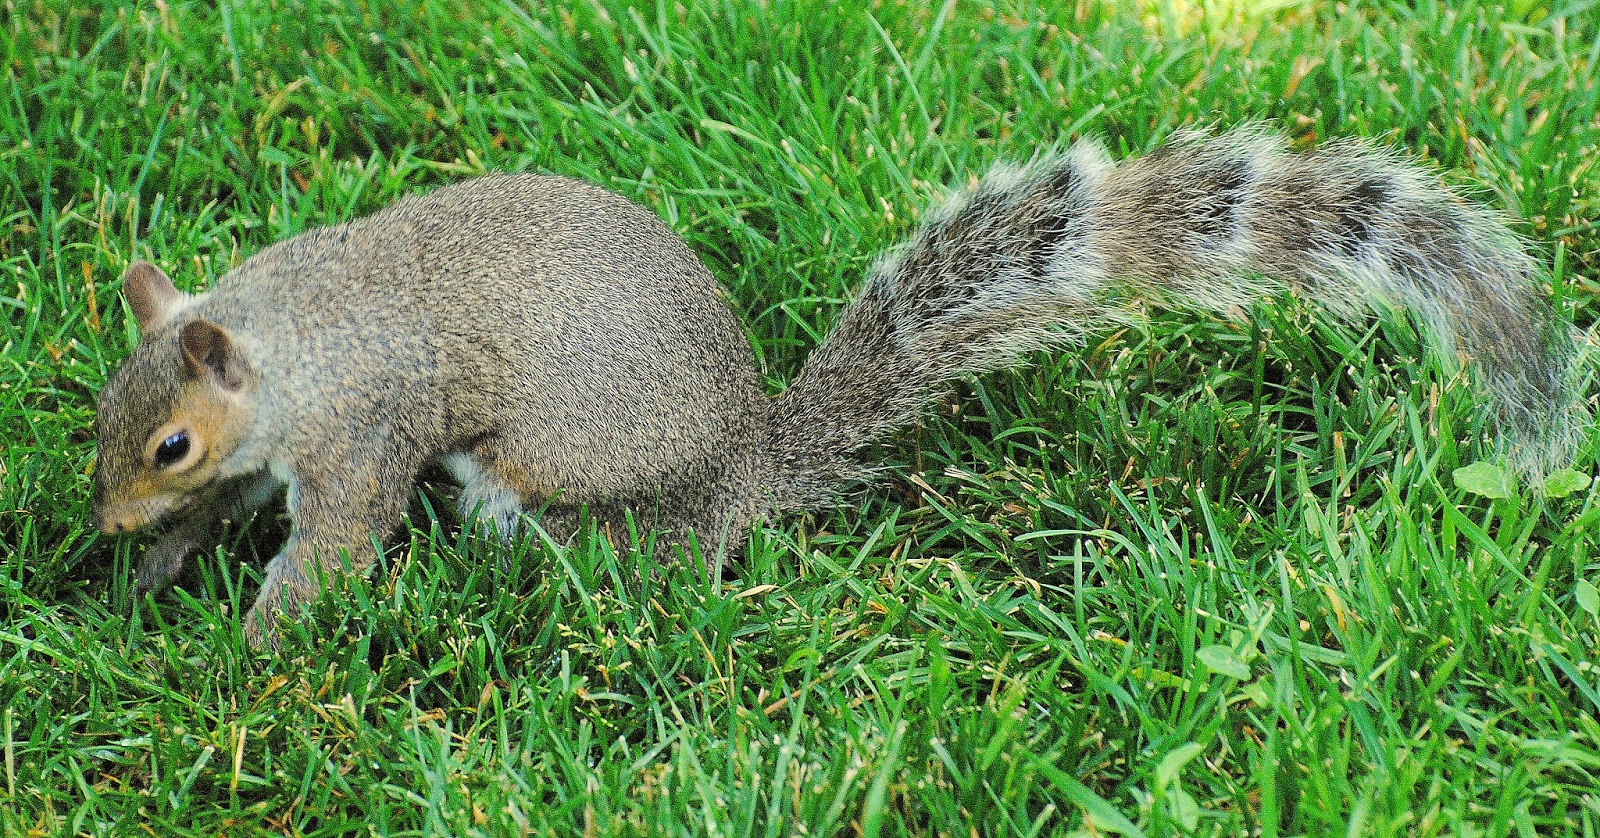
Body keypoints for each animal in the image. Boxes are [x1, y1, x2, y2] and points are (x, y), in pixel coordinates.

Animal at [92, 128, 1583, 648]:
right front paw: (153, 571)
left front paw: (250, 653)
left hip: (564, 489)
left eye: (169, 441)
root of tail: (744, 471)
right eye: (108, 418)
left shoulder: (365, 428)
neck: (287, 336)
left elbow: (336, 545)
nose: (100, 521)